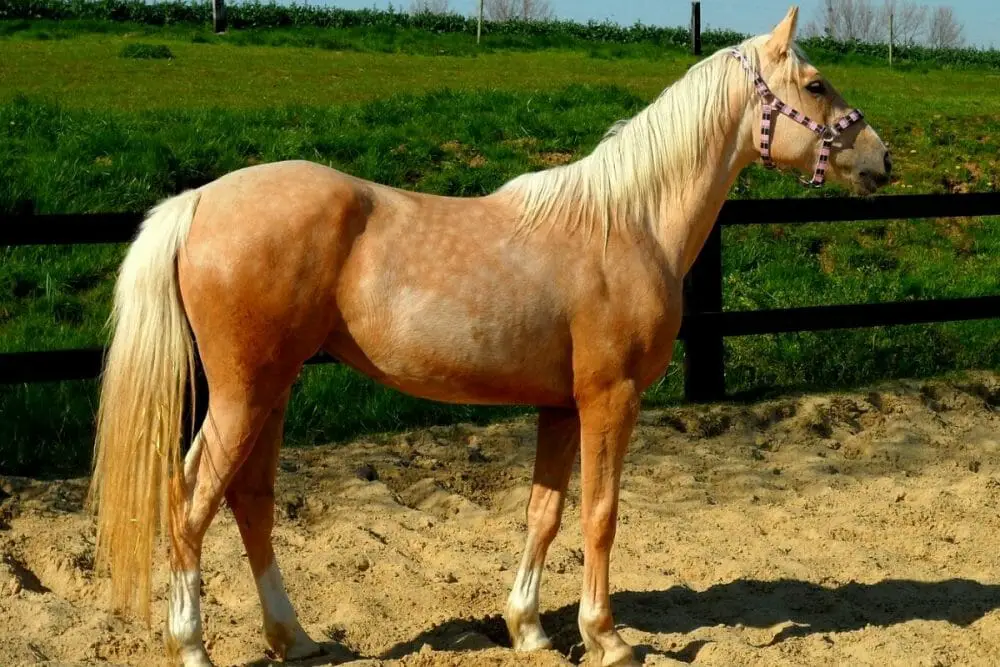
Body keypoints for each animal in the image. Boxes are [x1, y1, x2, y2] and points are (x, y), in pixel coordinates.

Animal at [87, 6, 891, 666]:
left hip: (273, 389)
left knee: (249, 499)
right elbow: (601, 514)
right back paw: (193, 645)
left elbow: (545, 512)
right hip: (244, 393)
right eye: (816, 84)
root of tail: (197, 201)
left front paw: (528, 628)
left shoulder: (562, 406)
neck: (628, 223)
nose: (882, 159)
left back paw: (295, 638)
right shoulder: (611, 398)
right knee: (190, 502)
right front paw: (607, 637)